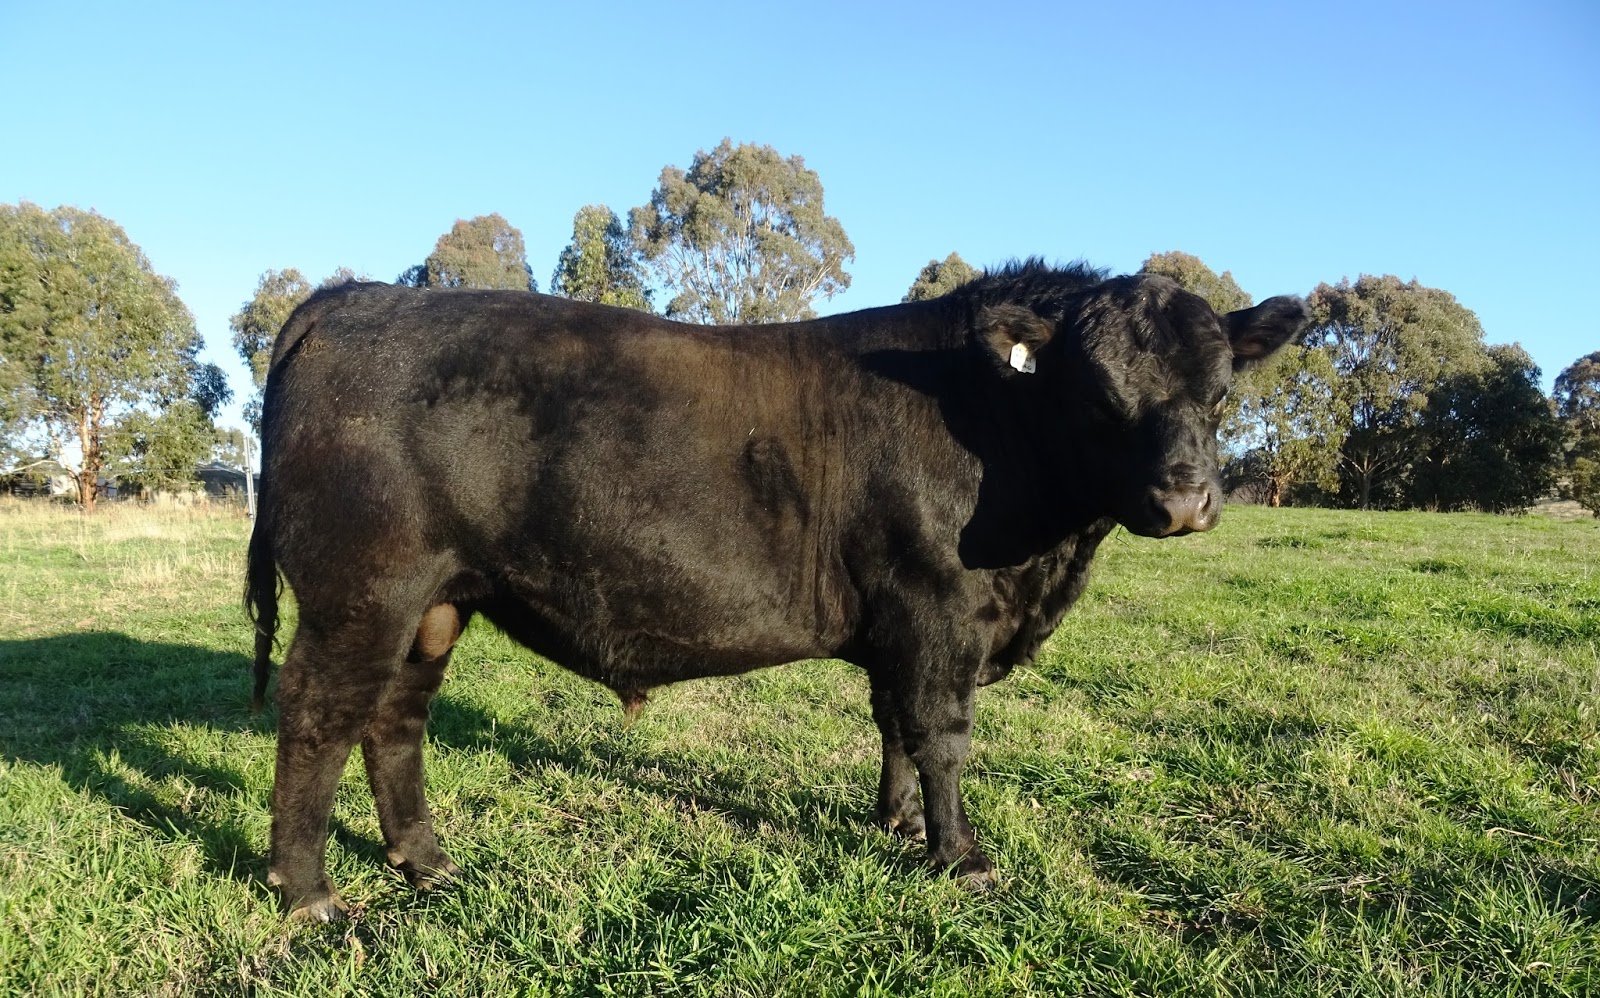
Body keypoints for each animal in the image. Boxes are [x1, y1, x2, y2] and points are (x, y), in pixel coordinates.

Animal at [246, 261, 1306, 921]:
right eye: (1095, 392)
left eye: (1220, 392)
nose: (1185, 499)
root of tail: (351, 299)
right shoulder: (938, 610)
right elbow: (941, 735)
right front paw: (958, 856)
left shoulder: (899, 623)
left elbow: (893, 725)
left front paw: (895, 824)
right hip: (363, 591)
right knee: (319, 718)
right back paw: (310, 894)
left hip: (438, 601)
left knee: (395, 719)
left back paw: (425, 864)